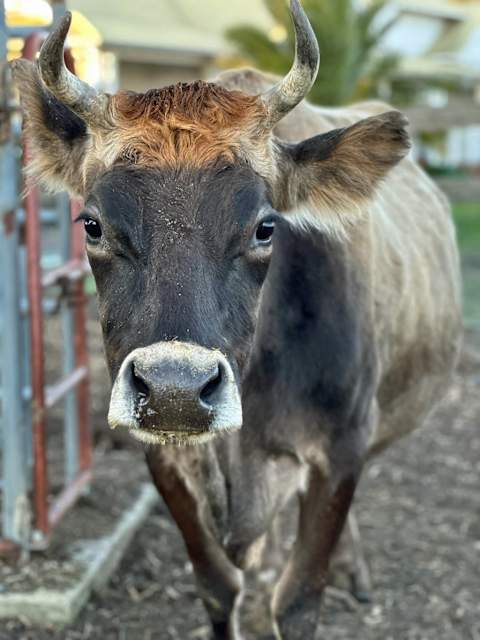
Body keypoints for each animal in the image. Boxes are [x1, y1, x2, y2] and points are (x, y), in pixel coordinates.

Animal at [11, 2, 462, 638]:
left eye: (265, 227)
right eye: (91, 224)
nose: (174, 391)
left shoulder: (341, 449)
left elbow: (299, 597)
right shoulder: (164, 455)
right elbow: (217, 586)